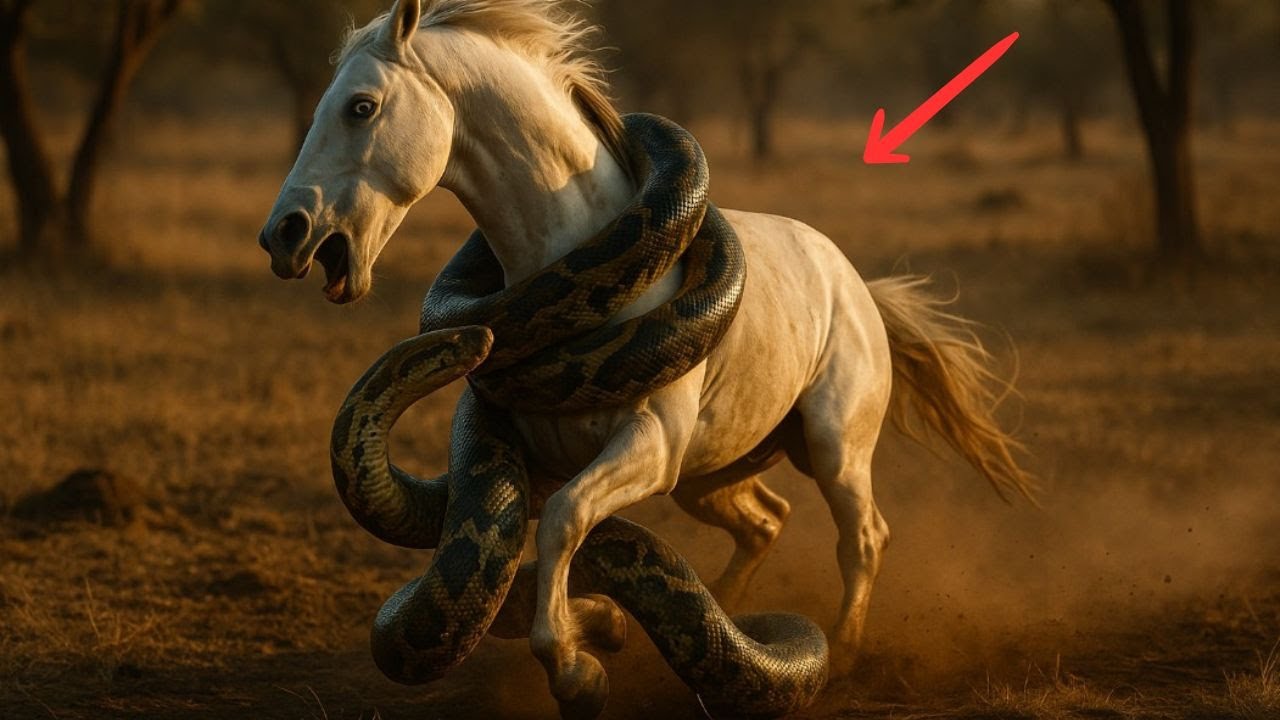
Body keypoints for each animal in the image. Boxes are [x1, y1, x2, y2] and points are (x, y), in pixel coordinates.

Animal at [258, 0, 1032, 713]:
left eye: (361, 107)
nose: (284, 232)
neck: (567, 235)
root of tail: (859, 286)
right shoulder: (526, 446)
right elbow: (542, 549)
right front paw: (602, 625)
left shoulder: (651, 446)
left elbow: (565, 519)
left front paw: (576, 667)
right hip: (711, 472)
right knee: (766, 520)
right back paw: (727, 619)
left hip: (834, 447)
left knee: (864, 536)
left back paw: (839, 653)